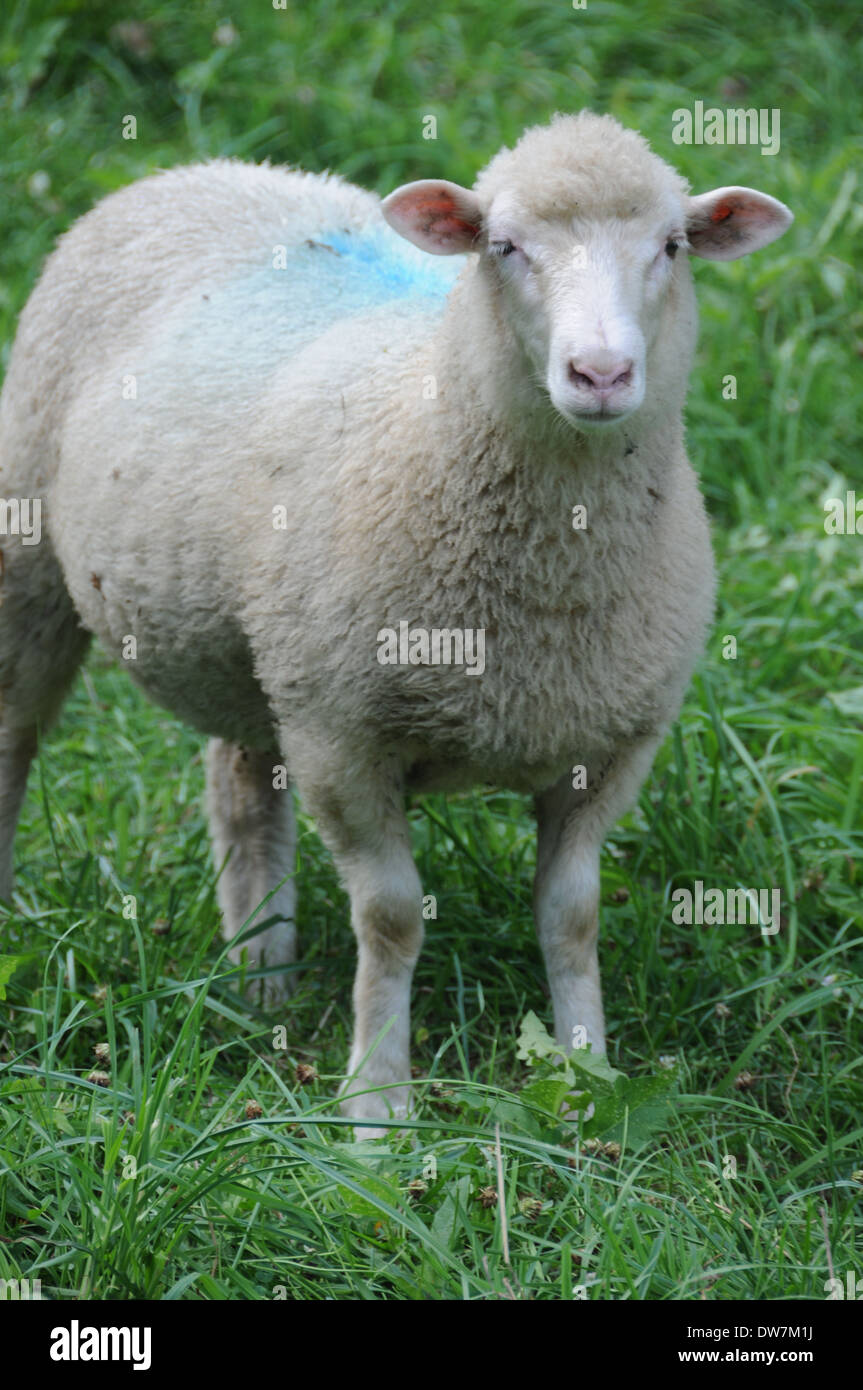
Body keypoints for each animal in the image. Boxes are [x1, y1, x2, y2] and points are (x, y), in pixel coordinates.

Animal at [0, 111, 792, 1131]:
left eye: (670, 247)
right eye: (504, 246)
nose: (601, 372)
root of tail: (184, 169)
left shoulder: (612, 748)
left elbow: (571, 913)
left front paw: (586, 1077)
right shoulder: (342, 739)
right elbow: (391, 916)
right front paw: (376, 1107)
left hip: (256, 647)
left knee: (240, 788)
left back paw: (262, 980)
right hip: (33, 557)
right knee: (13, 743)